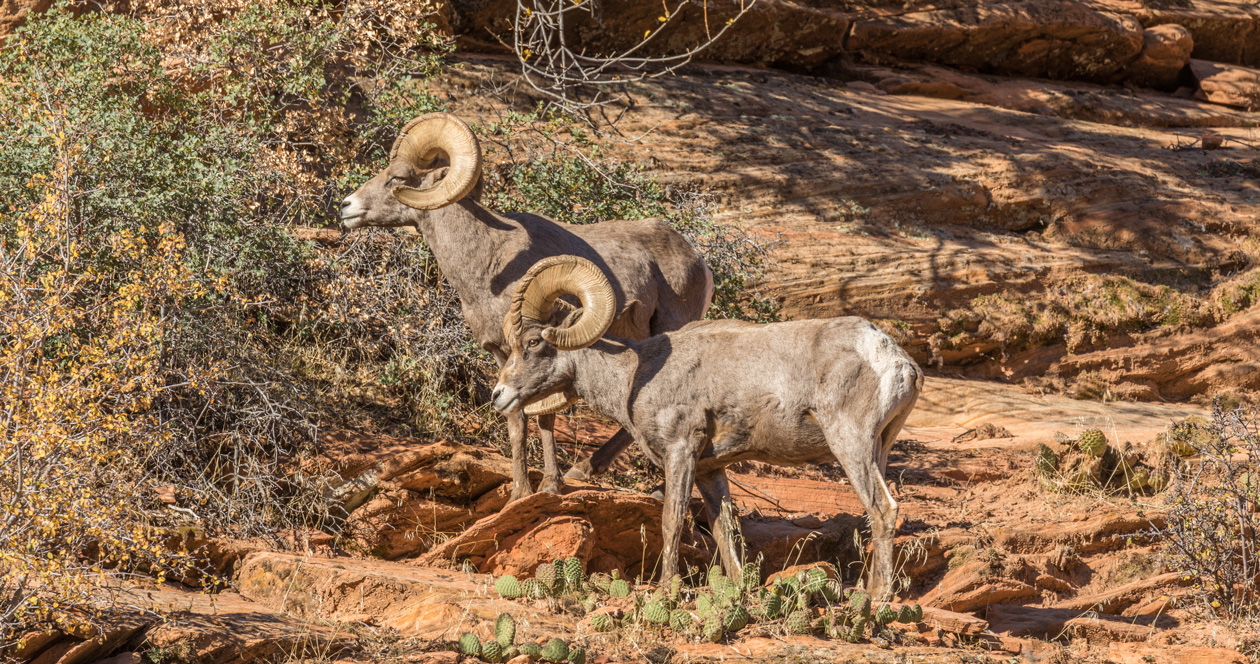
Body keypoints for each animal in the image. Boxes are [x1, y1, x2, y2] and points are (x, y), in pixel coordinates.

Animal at [340, 113, 713, 503]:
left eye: (398, 177)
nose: (346, 206)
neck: (487, 264)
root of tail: (698, 261)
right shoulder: (501, 354)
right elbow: (517, 421)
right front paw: (520, 491)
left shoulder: (546, 343)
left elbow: (545, 417)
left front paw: (550, 485)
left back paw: (616, 479)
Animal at [490, 256, 923, 598]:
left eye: (533, 342)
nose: (498, 395)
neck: (635, 375)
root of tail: (900, 363)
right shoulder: (710, 469)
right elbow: (725, 532)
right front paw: (740, 591)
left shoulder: (681, 450)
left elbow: (672, 519)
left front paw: (666, 590)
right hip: (879, 449)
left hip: (850, 444)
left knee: (883, 509)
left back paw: (878, 597)